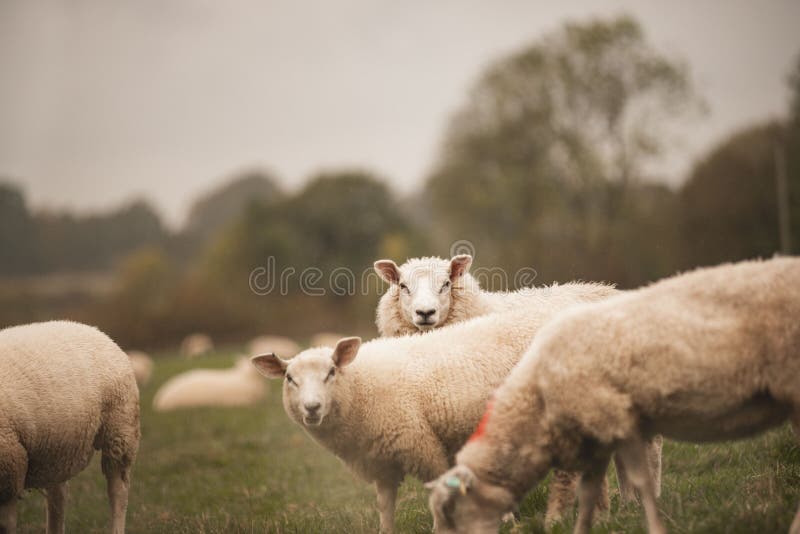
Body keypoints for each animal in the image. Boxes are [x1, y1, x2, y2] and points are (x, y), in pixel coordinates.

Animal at [0, 320, 140, 534]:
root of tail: (94, 330)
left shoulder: (9, 465)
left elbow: (5, 523)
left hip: (120, 431)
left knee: (118, 490)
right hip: (56, 448)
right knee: (58, 497)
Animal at [251, 289, 610, 534]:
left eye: (330, 373)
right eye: (289, 379)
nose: (312, 408)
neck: (360, 388)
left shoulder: (421, 446)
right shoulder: (382, 459)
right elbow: (385, 507)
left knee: (568, 474)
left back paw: (563, 518)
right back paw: (601, 511)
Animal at [426, 257, 800, 534]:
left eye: (445, 283)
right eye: (409, 286)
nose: (424, 314)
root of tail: (609, 289)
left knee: (649, 449)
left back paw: (642, 498)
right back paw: (628, 501)